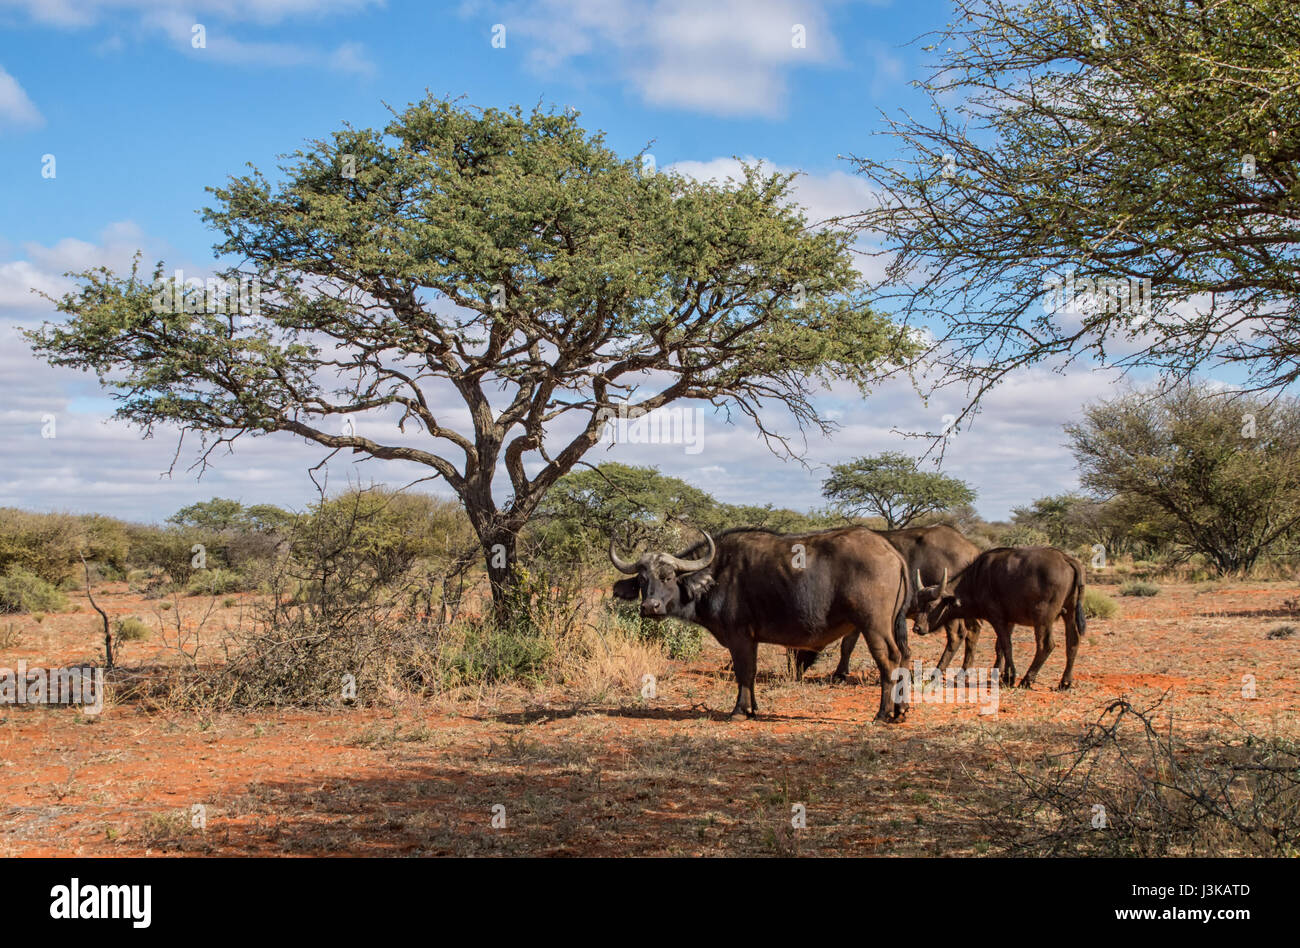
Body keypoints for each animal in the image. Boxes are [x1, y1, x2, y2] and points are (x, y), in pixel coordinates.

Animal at [610, 526, 912, 723]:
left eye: (668, 577)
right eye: (642, 580)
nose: (650, 607)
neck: (718, 574)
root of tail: (891, 551)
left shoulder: (739, 637)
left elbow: (743, 672)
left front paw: (739, 711)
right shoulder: (751, 639)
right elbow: (752, 673)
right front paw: (753, 708)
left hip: (873, 626)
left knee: (889, 660)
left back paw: (883, 714)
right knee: (905, 656)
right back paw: (901, 710)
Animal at [914, 546, 1087, 690]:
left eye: (930, 605)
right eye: (919, 604)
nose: (917, 628)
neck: (976, 580)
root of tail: (1066, 559)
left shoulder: (997, 618)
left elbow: (1006, 645)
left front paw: (1009, 677)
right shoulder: (1009, 622)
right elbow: (1000, 647)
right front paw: (1001, 675)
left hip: (1042, 619)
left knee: (1046, 645)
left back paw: (1027, 680)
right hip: (1070, 613)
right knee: (1073, 642)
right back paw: (1065, 682)